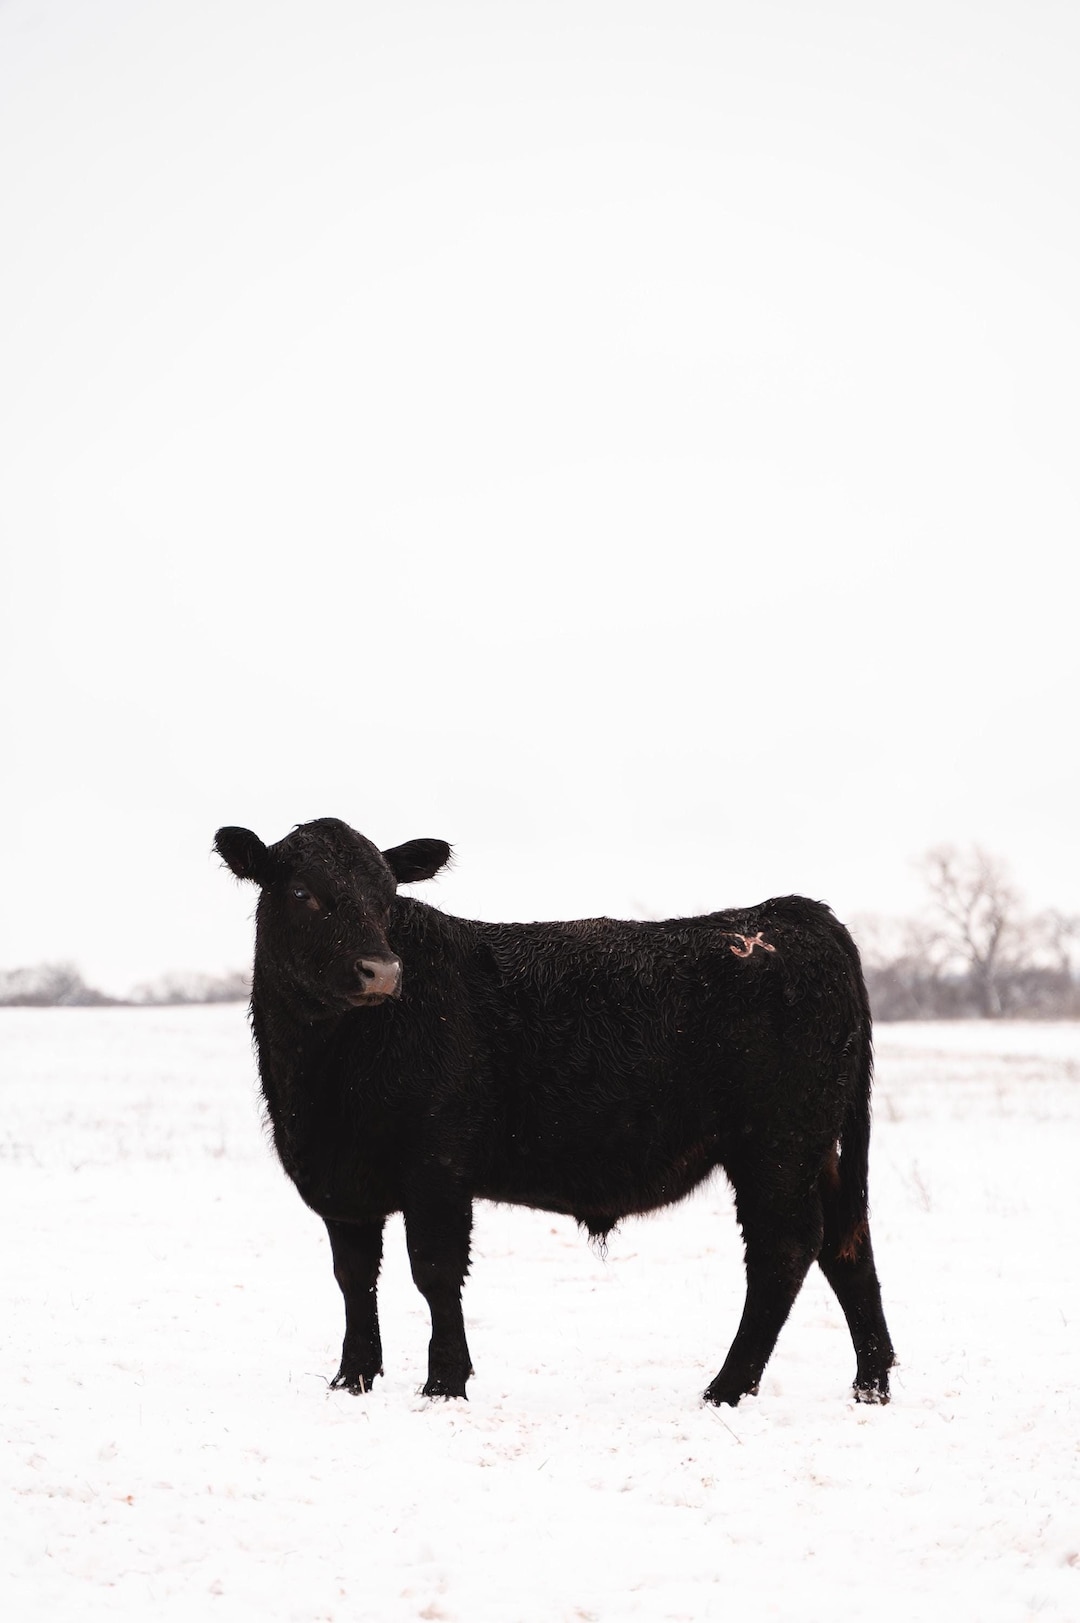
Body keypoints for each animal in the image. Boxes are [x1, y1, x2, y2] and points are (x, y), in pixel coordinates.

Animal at [215, 817, 895, 1408]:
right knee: (846, 1244)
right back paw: (871, 1385)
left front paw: (444, 1384)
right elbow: (354, 1277)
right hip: (814, 1149)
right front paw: (351, 1379)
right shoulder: (342, 1182)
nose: (380, 971)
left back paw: (726, 1389)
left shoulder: (437, 1168)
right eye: (302, 892)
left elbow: (435, 1272)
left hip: (777, 1146)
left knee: (785, 1251)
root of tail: (788, 912)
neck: (321, 1077)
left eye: (387, 898)